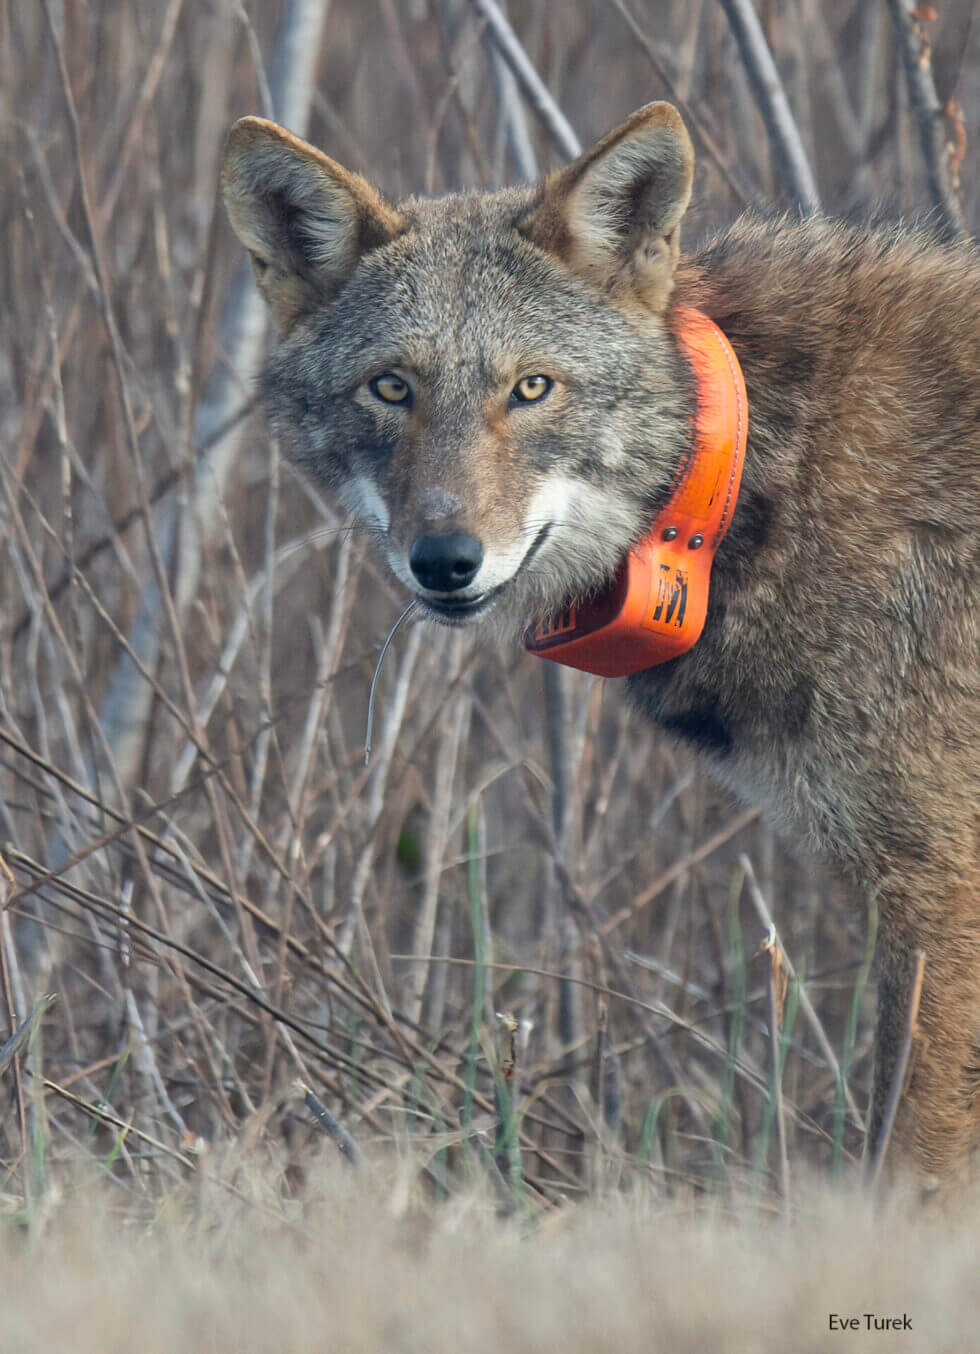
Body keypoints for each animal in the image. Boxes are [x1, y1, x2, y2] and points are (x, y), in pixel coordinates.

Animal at [222, 102, 980, 1185]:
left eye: (531, 388)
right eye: (391, 388)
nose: (443, 561)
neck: (751, 477)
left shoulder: (935, 893)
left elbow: (906, 1168)